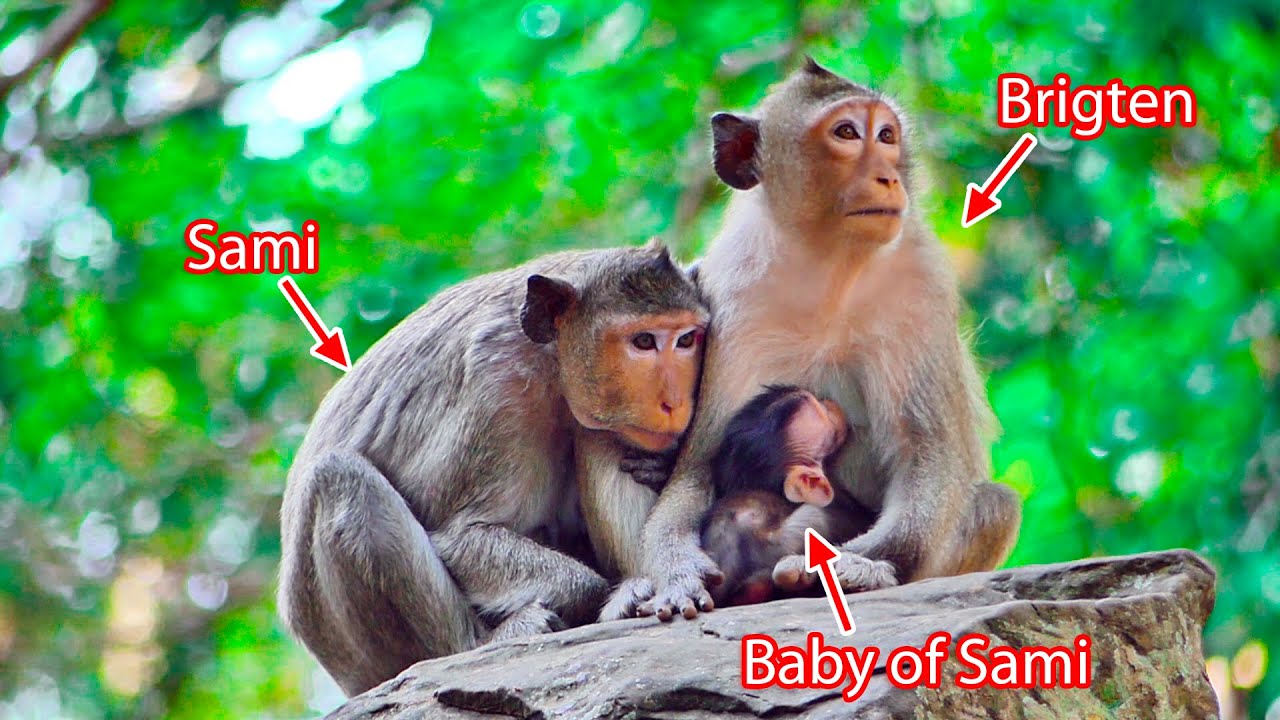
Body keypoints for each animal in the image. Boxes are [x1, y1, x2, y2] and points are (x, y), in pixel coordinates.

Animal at [278, 241, 709, 695]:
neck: (550, 357)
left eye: (686, 339)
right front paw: (608, 596)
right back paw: (482, 642)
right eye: (643, 341)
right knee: (340, 476)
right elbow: (460, 536)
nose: (675, 402)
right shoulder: (496, 389)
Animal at [602, 58, 1022, 621]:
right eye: (846, 133)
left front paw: (854, 566)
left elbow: (926, 456)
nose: (888, 176)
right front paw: (677, 573)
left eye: (886, 135)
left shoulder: (920, 290)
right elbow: (700, 464)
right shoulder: (733, 298)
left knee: (995, 504)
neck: (828, 266)